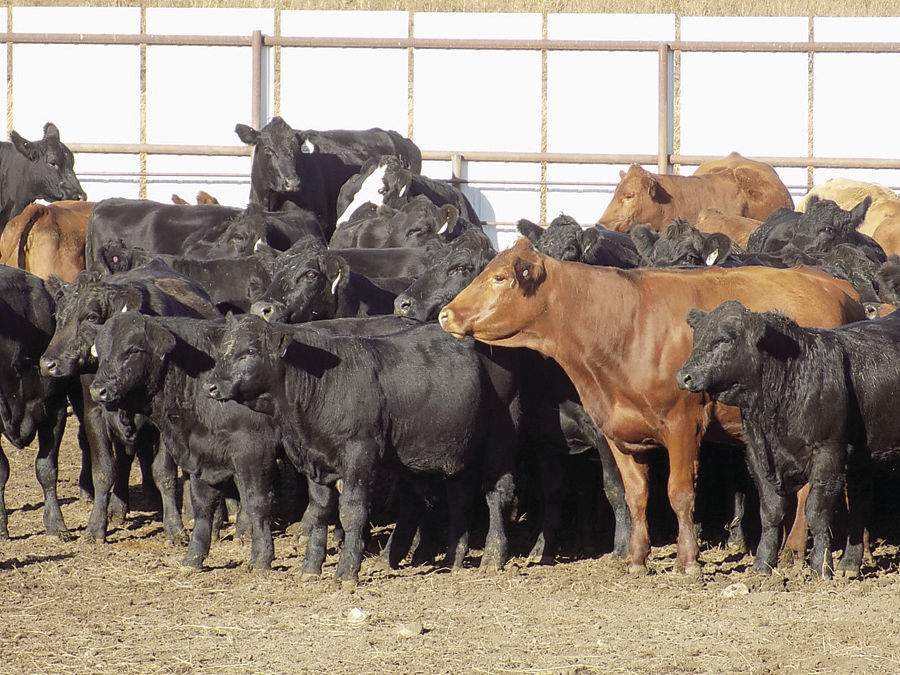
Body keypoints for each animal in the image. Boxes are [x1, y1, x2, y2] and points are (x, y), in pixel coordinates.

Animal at [88, 312, 283, 570]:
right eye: (100, 351)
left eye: (133, 349)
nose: (98, 391)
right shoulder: (201, 455)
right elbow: (202, 504)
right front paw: (195, 557)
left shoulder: (253, 450)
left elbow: (257, 500)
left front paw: (261, 557)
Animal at [205, 314, 520, 585]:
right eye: (222, 351)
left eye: (250, 351)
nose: (211, 386)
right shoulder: (316, 459)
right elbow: (320, 511)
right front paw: (310, 568)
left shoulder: (359, 453)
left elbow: (351, 511)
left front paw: (346, 572)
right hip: (455, 450)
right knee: (454, 497)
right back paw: (448, 558)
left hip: (501, 438)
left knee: (497, 493)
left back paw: (492, 557)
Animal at [438, 237, 865, 574]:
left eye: (498, 278)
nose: (446, 313)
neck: (623, 327)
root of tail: (836, 285)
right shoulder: (618, 433)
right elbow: (635, 495)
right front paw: (637, 559)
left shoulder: (683, 425)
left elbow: (679, 493)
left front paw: (688, 561)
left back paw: (818, 556)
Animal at [677, 301, 900, 578]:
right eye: (697, 337)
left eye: (725, 339)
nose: (684, 376)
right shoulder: (757, 455)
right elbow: (770, 512)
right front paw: (762, 565)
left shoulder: (829, 453)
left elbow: (816, 513)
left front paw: (821, 568)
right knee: (860, 499)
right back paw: (849, 564)